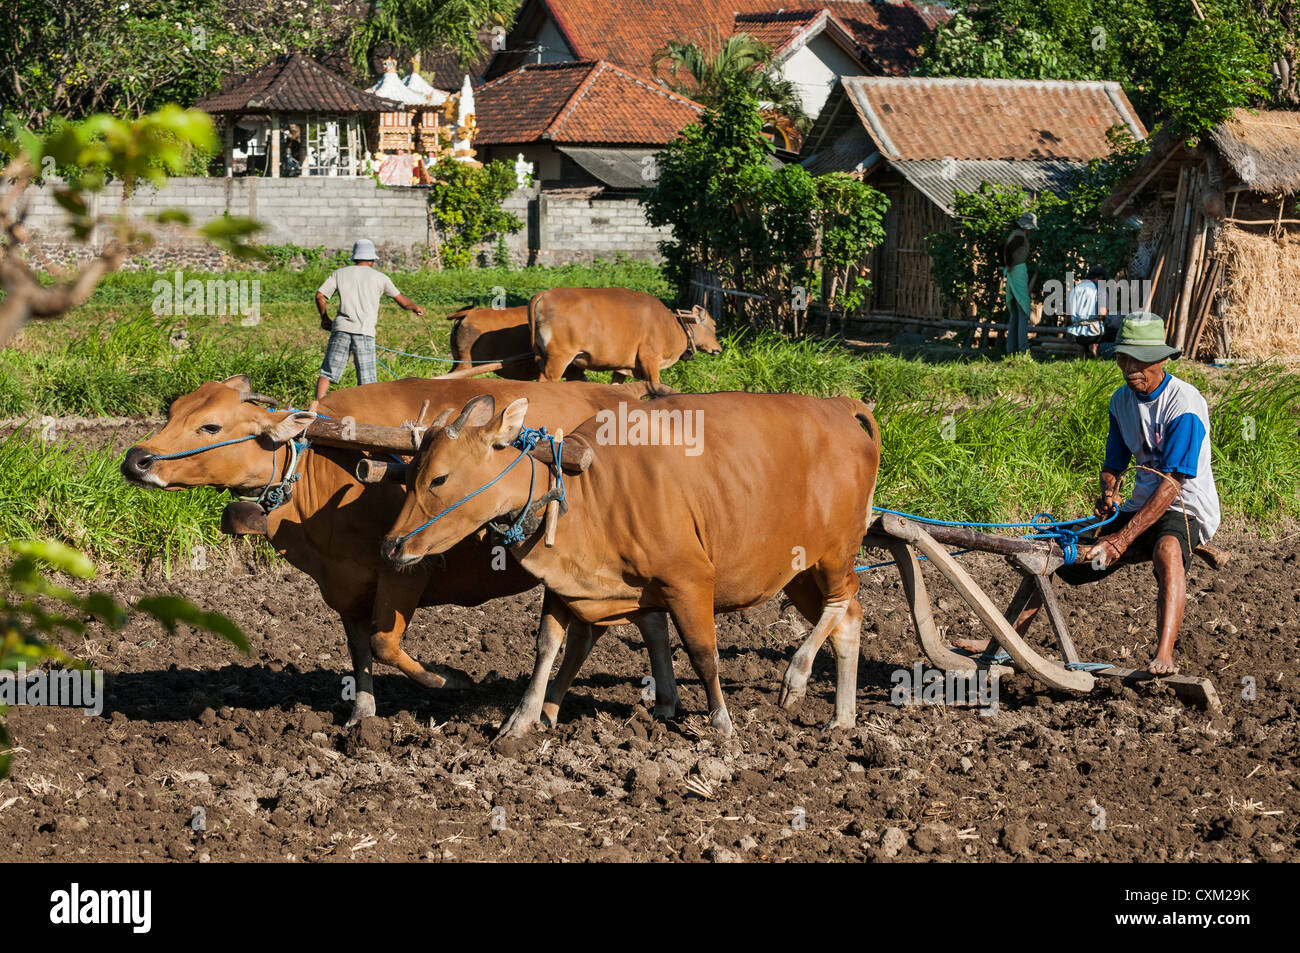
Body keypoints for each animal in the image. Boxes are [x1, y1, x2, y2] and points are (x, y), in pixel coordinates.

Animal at [120, 375, 679, 734]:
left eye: (211, 427)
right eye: (173, 412)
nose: (135, 459)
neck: (331, 469)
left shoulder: (406, 568)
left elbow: (386, 643)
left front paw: (449, 678)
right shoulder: (343, 585)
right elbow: (360, 648)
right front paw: (361, 715)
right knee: (647, 621)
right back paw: (664, 700)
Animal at [382, 391, 881, 736]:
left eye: (439, 478)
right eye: (410, 473)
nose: (391, 545)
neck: (590, 487)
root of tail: (838, 406)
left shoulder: (690, 580)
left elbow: (703, 652)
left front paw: (721, 722)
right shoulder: (567, 584)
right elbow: (547, 647)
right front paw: (521, 719)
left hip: (835, 555)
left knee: (845, 604)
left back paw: (797, 676)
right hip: (799, 572)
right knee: (848, 620)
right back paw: (842, 717)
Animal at [528, 287, 722, 391]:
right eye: (713, 325)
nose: (719, 349)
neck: (672, 326)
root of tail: (544, 294)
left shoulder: (621, 369)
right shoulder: (650, 360)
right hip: (558, 360)